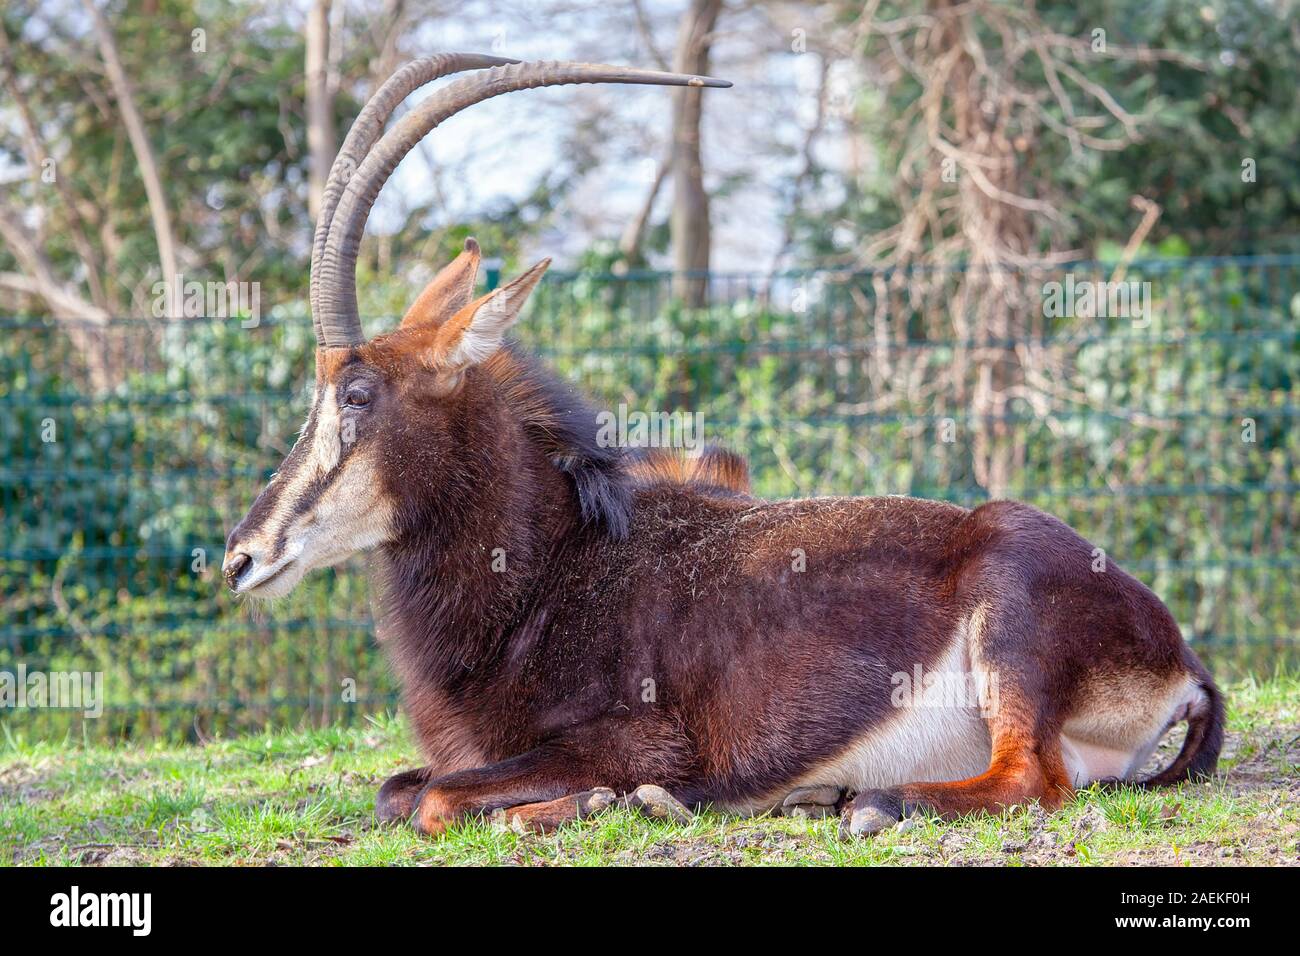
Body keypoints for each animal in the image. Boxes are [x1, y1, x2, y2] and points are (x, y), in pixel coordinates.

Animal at [224, 54, 1224, 838]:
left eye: (357, 393)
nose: (242, 556)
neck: (552, 566)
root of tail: (1181, 657)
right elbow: (398, 789)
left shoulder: (634, 737)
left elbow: (435, 800)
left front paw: (599, 803)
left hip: (1008, 628)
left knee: (1033, 780)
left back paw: (866, 801)